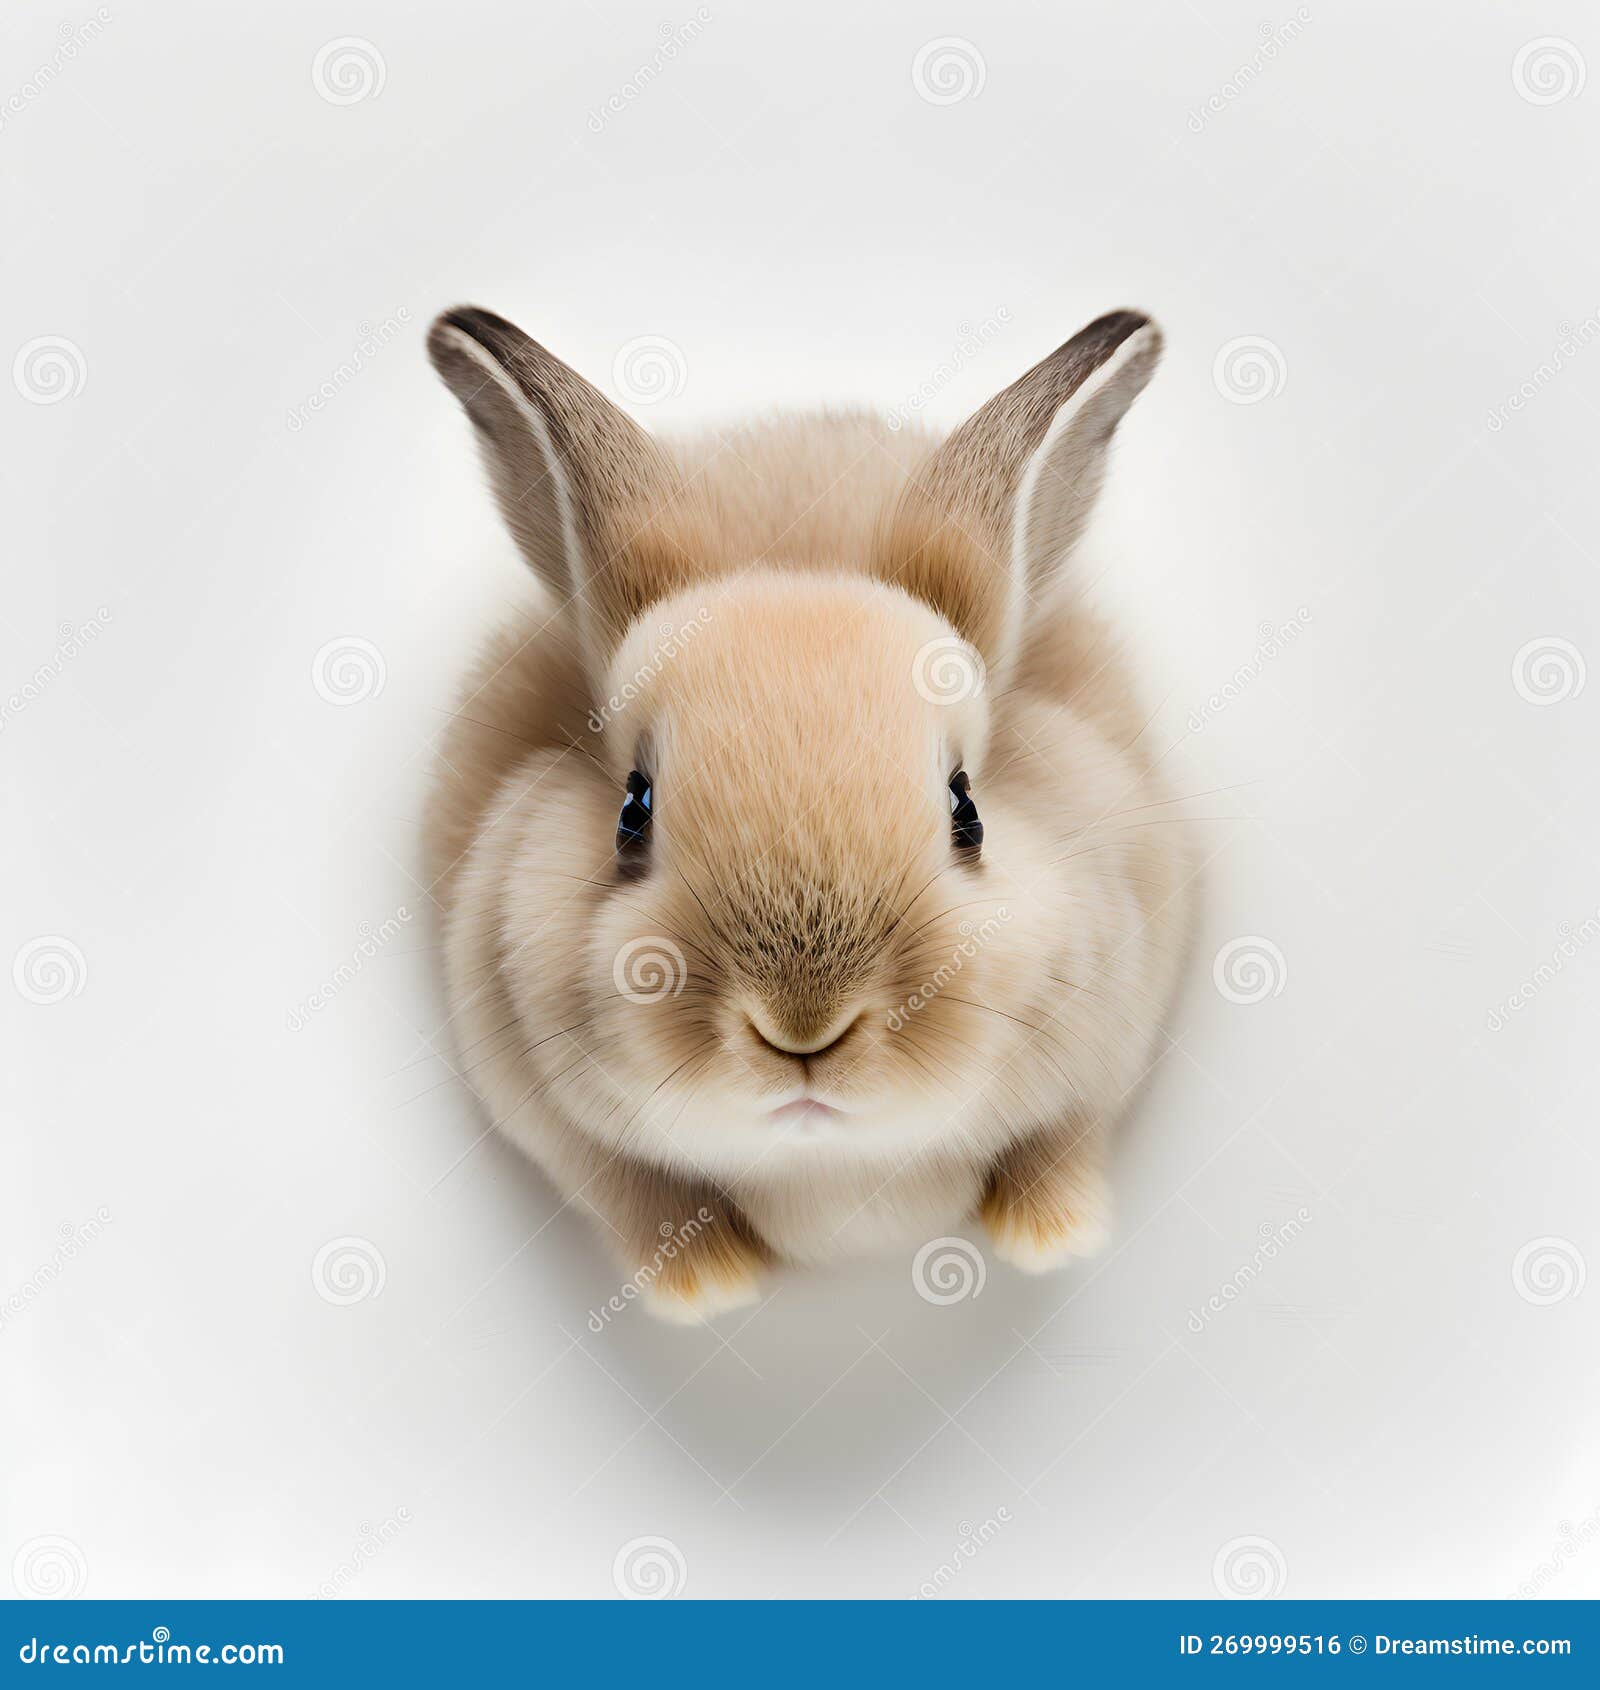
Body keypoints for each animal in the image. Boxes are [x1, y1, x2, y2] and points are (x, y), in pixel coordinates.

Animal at [424, 304, 1194, 1322]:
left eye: (968, 811)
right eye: (633, 811)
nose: (803, 1028)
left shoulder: (1109, 1045)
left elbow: (1064, 1141)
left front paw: (1047, 1238)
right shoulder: (548, 1110)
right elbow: (629, 1189)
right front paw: (710, 1288)